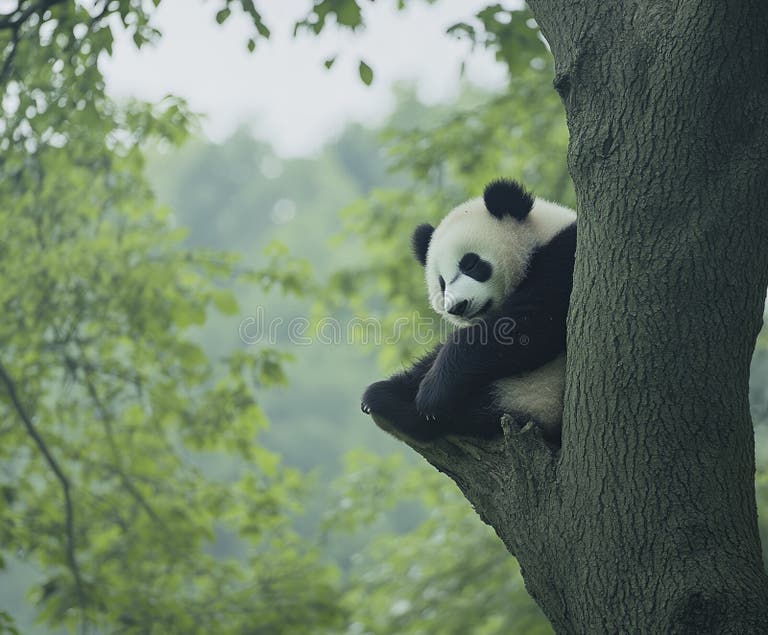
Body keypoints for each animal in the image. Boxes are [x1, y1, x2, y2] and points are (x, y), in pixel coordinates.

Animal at [361, 179, 576, 446]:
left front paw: (431, 394)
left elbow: (528, 324)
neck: (541, 238)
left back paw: (401, 413)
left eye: (470, 263)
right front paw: (397, 387)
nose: (457, 307)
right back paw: (383, 398)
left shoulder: (566, 260)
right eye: (442, 283)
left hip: (532, 395)